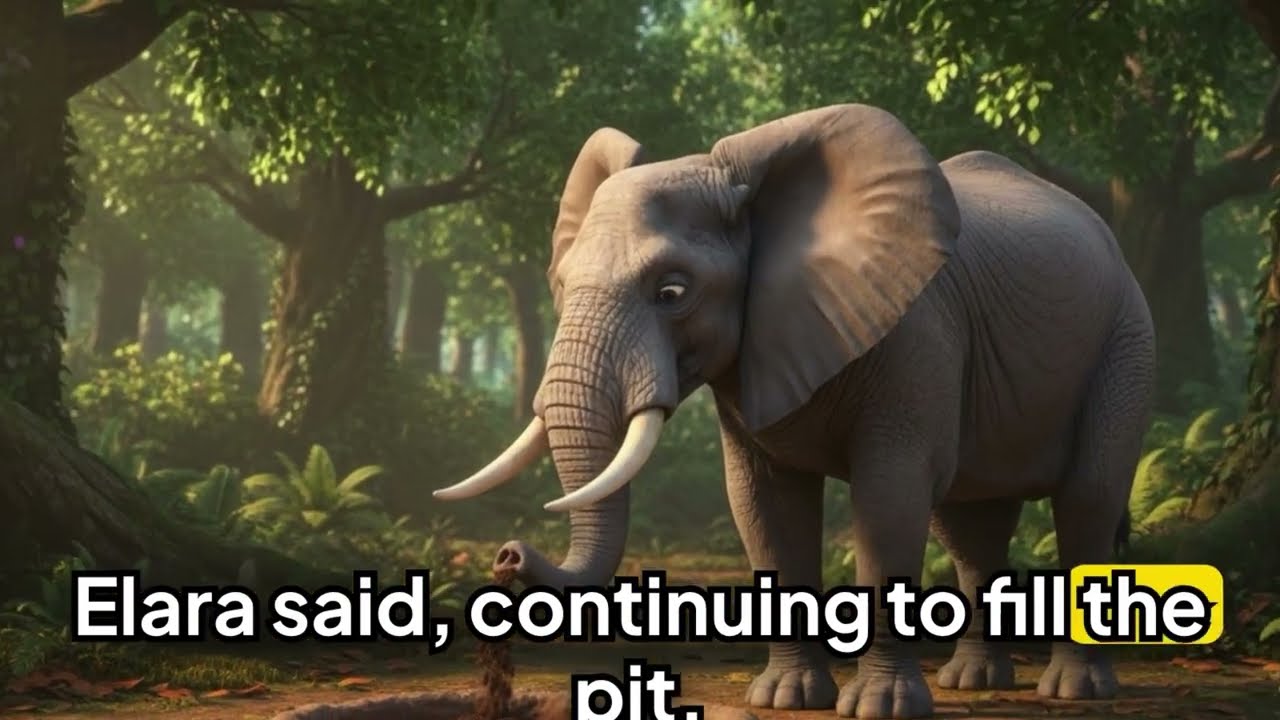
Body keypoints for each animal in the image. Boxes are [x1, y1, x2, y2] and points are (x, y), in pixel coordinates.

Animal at [434, 104, 1156, 719]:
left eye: (672, 291)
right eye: (561, 282)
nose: (507, 556)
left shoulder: (917, 333)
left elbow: (889, 499)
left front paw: (878, 708)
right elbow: (765, 506)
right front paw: (786, 698)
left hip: (1125, 337)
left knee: (1086, 499)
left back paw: (1075, 690)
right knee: (970, 526)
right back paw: (972, 681)